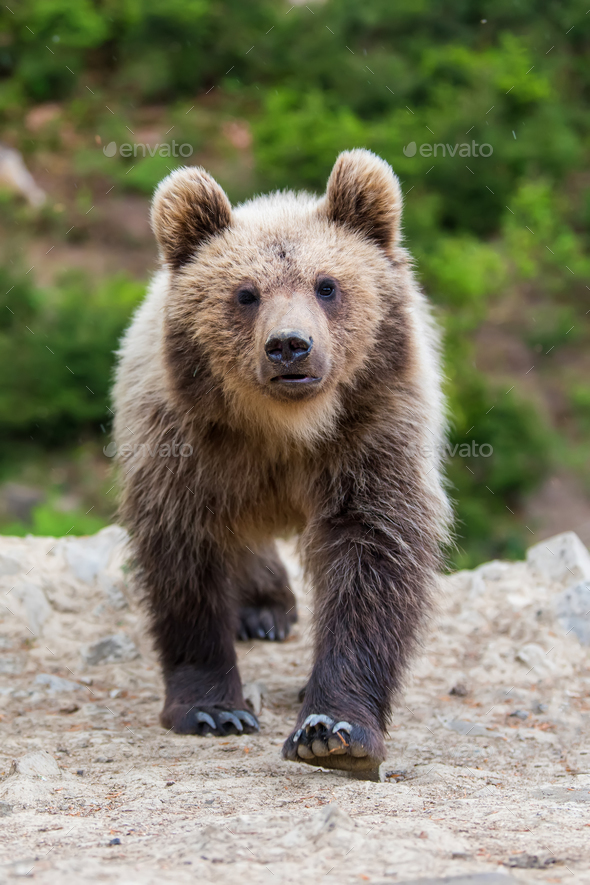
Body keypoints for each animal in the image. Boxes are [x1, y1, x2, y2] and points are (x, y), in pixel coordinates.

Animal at [112, 149, 450, 772]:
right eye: (245, 293)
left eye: (327, 285)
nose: (290, 345)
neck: (285, 429)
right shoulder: (184, 442)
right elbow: (183, 555)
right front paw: (213, 709)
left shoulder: (373, 433)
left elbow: (374, 554)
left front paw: (332, 729)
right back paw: (263, 607)